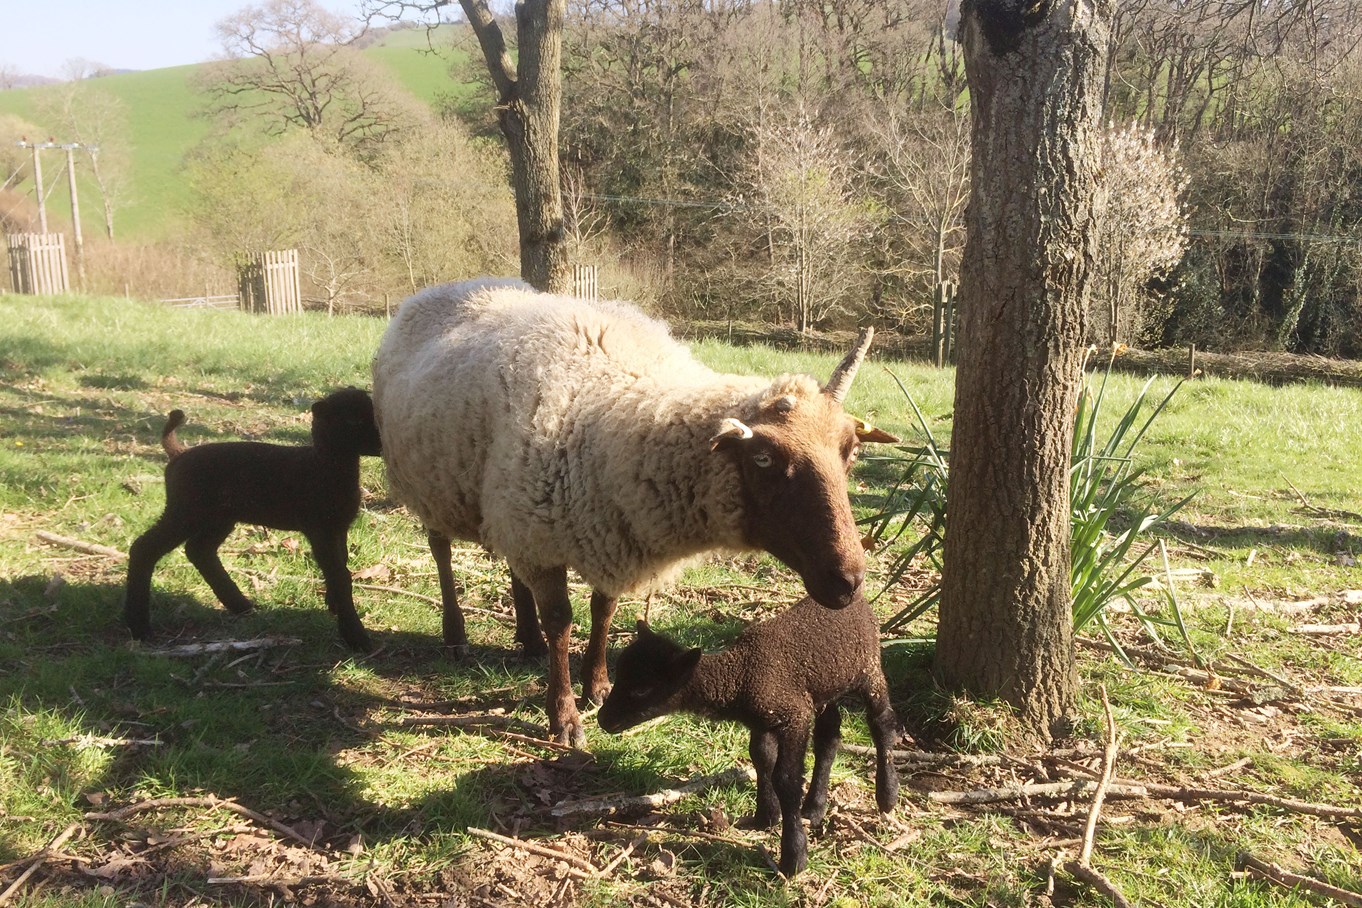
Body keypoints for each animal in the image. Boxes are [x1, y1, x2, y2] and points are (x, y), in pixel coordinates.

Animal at [123, 387, 383, 651]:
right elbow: (341, 575)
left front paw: (334, 605)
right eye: (353, 420)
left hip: (218, 517)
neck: (323, 465)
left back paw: (240, 605)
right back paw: (138, 627)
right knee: (144, 548)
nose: (382, 442)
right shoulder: (320, 528)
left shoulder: (338, 527)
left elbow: (341, 564)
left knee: (198, 550)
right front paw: (356, 637)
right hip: (186, 511)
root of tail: (178, 454)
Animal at [371, 277, 897, 745]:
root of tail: (441, 289)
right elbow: (561, 620)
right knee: (440, 551)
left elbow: (603, 611)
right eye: (764, 459)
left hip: (506, 508)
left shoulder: (608, 531)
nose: (849, 580)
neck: (621, 402)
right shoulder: (547, 527)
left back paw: (527, 638)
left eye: (850, 451)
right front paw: (564, 716)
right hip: (433, 486)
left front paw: (598, 684)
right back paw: (456, 635)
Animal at [597, 593, 901, 878]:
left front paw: (794, 856)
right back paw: (815, 808)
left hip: (868, 668)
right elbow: (761, 759)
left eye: (641, 690)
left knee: (881, 723)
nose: (602, 719)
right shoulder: (764, 721)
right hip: (825, 685)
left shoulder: (794, 715)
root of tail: (859, 599)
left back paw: (887, 795)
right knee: (829, 735)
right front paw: (766, 816)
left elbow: (786, 779)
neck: (740, 676)